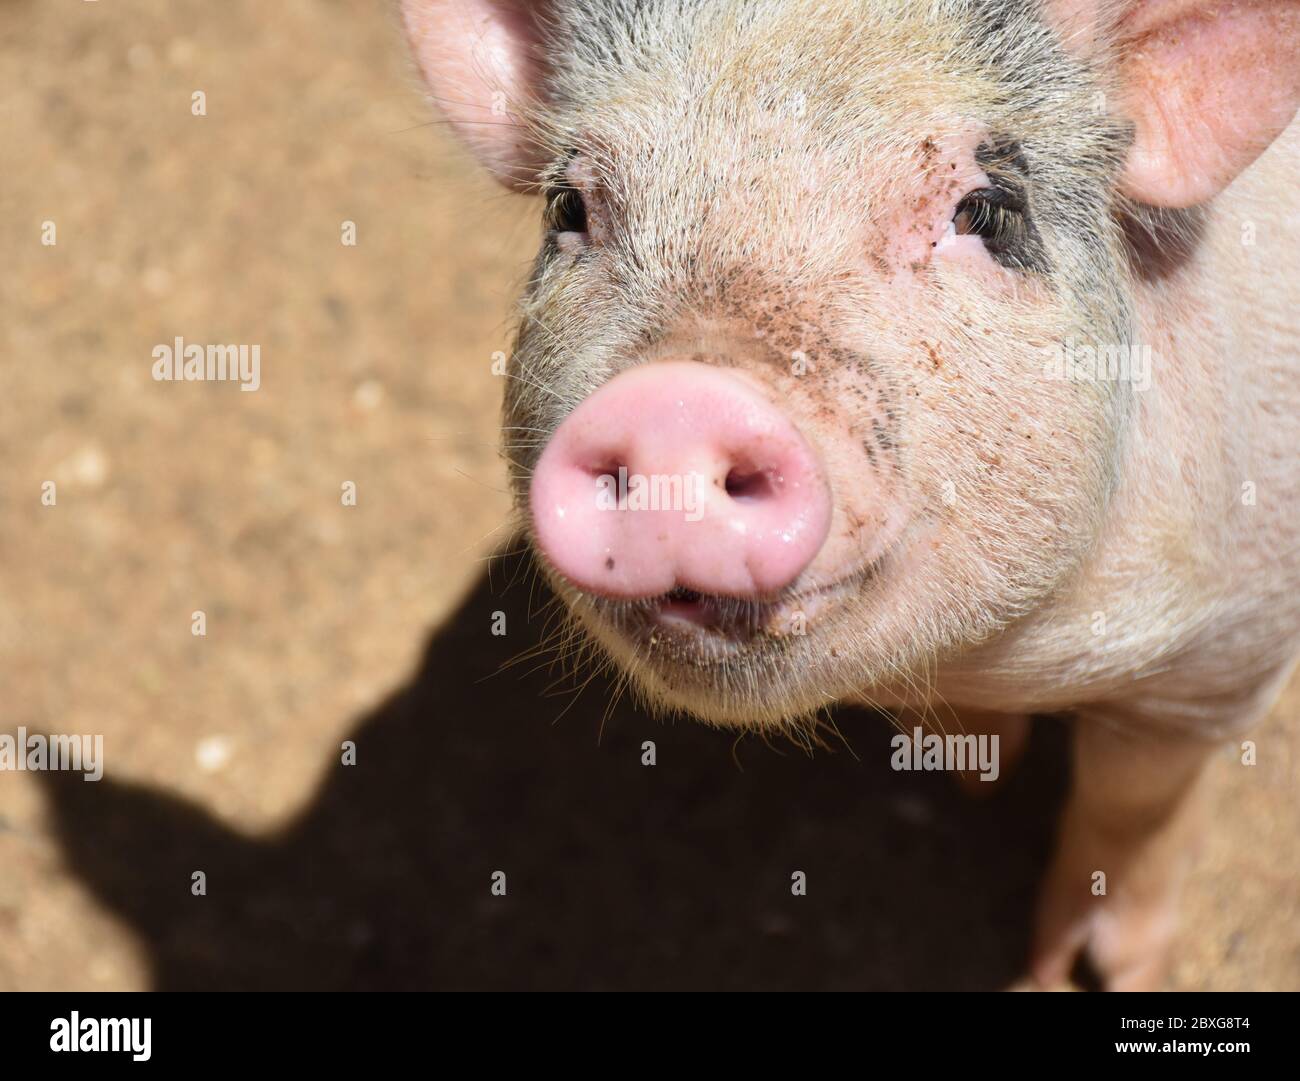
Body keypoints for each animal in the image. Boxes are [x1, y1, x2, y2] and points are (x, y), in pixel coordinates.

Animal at [401, 0, 1300, 990]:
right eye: (570, 207)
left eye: (988, 211)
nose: (677, 398)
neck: (985, 658)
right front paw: (972, 775)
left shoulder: (1232, 649)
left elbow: (1133, 807)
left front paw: (1082, 969)